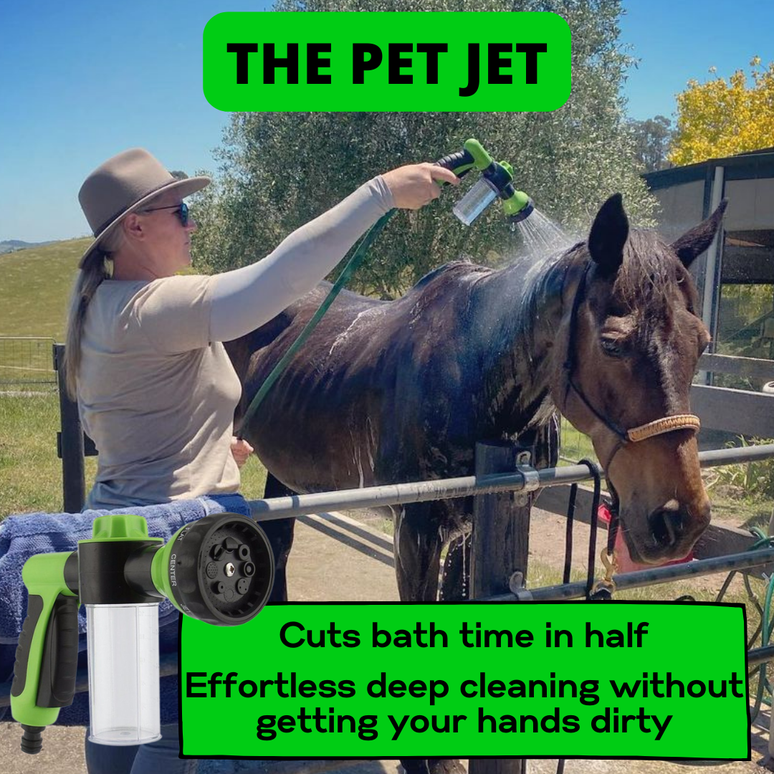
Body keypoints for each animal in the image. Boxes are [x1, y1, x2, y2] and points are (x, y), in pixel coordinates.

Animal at [226, 194, 726, 606]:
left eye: (702, 342)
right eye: (612, 344)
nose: (681, 520)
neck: (470, 375)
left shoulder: (476, 527)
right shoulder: (416, 531)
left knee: (278, 543)